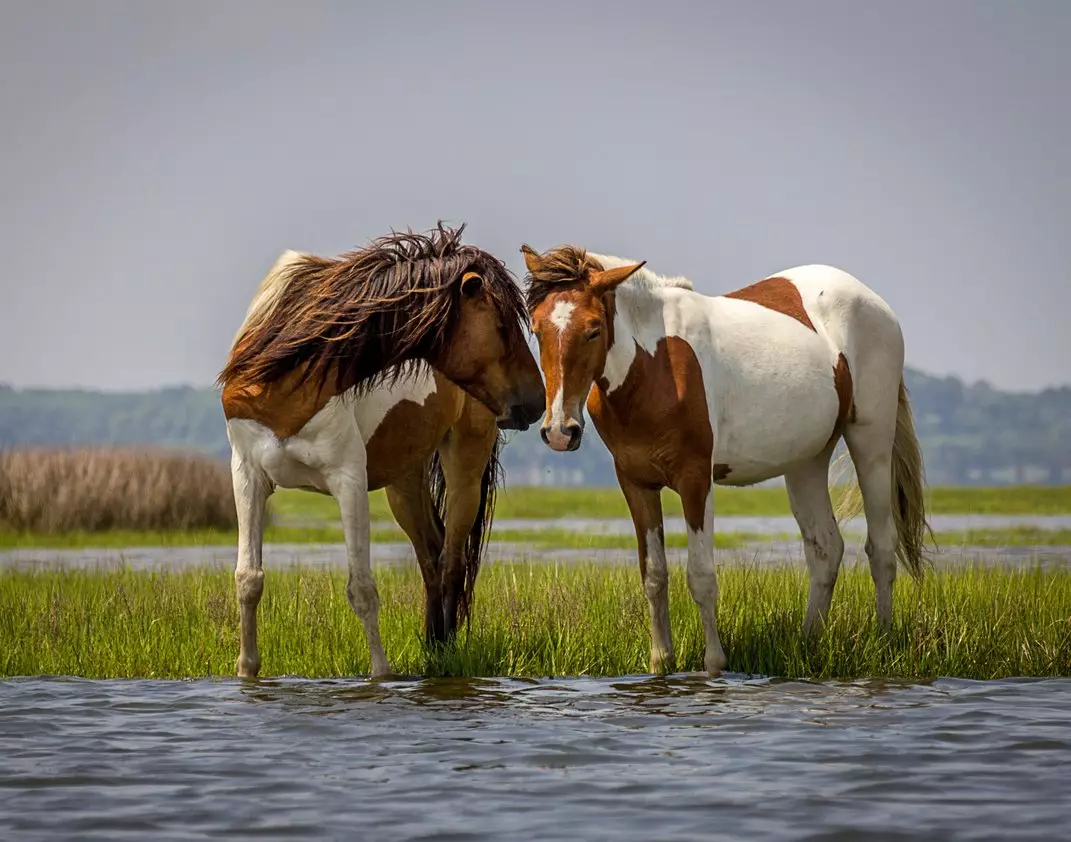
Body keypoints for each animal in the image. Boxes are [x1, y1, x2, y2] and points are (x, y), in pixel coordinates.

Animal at [215, 221, 544, 677]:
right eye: (502, 326)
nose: (537, 401)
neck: (287, 376)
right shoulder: (247, 475)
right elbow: (248, 578)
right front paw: (246, 671)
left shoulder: (348, 480)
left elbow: (362, 588)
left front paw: (381, 675)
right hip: (404, 479)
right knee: (432, 554)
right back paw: (433, 649)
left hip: (465, 461)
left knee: (452, 561)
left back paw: (445, 655)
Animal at [518, 243, 929, 677]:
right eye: (537, 329)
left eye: (594, 329)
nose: (560, 431)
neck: (653, 366)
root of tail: (875, 304)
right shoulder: (636, 482)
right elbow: (654, 576)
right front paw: (661, 662)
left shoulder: (696, 479)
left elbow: (701, 576)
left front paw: (714, 664)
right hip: (807, 460)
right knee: (825, 549)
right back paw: (808, 645)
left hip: (871, 442)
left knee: (880, 547)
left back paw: (883, 643)